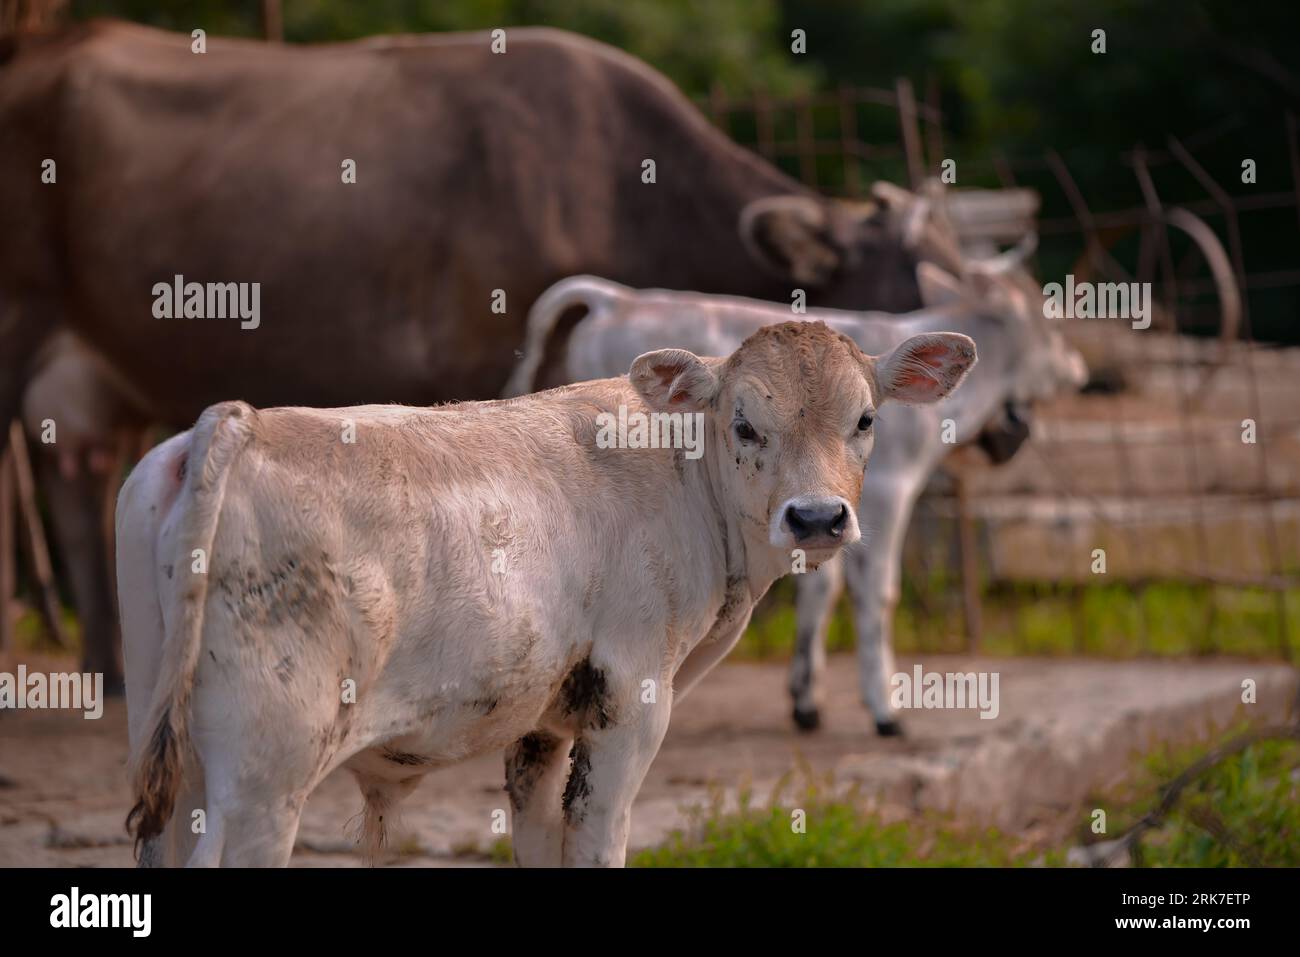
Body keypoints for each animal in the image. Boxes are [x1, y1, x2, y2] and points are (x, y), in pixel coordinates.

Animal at [116, 321, 976, 867]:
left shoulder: (541, 722)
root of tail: (239, 423)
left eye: (865, 419)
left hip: (175, 749)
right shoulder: (630, 703)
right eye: (743, 423)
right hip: (267, 773)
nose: (817, 515)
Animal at [504, 259, 1086, 736]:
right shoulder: (890, 490)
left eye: (865, 418)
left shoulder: (828, 506)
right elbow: (877, 592)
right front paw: (885, 709)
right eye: (1050, 321)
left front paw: (807, 701)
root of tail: (616, 297)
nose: (1078, 369)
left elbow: (820, 589)